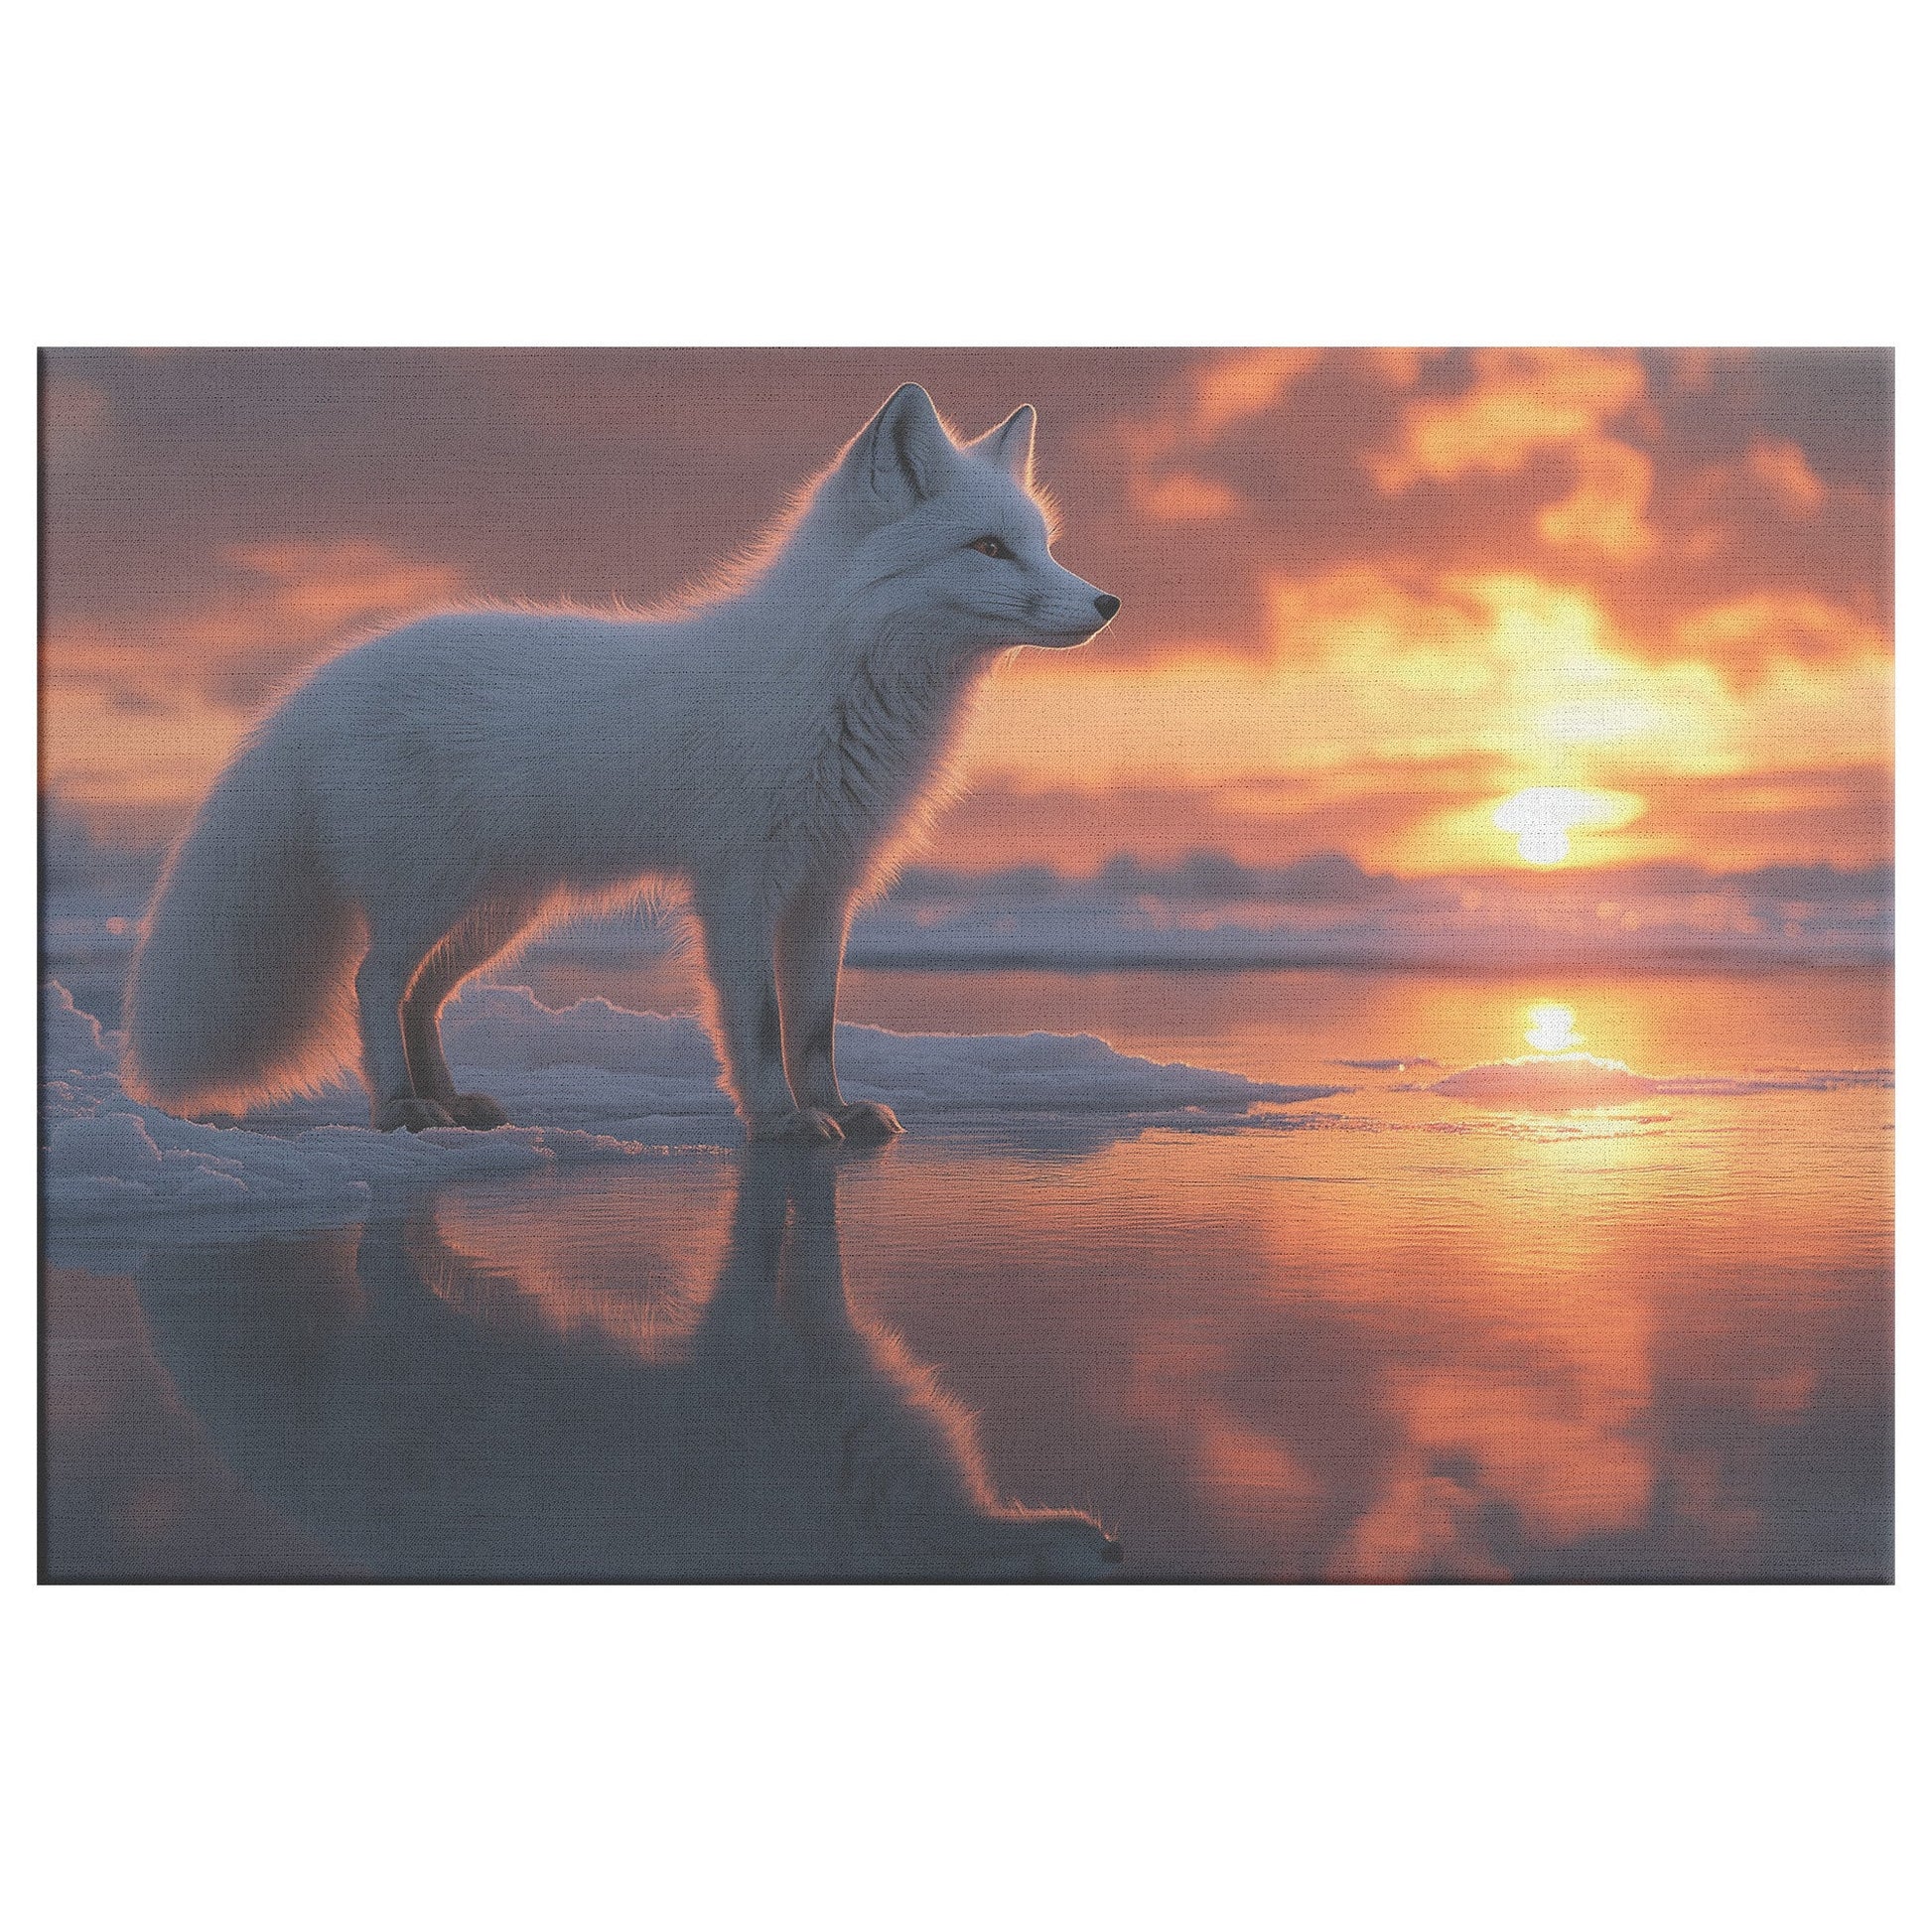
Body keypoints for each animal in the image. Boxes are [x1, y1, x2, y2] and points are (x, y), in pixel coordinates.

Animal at [122, 383, 1119, 1138]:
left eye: (1042, 544)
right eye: (988, 547)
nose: (1108, 602)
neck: (838, 684)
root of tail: (317, 683)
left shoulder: (826, 889)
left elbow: (817, 1030)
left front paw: (834, 1112)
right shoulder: (737, 885)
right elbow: (759, 1026)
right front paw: (780, 1122)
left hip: (500, 912)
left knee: (418, 999)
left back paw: (450, 1098)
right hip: (432, 892)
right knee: (371, 985)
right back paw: (402, 1107)